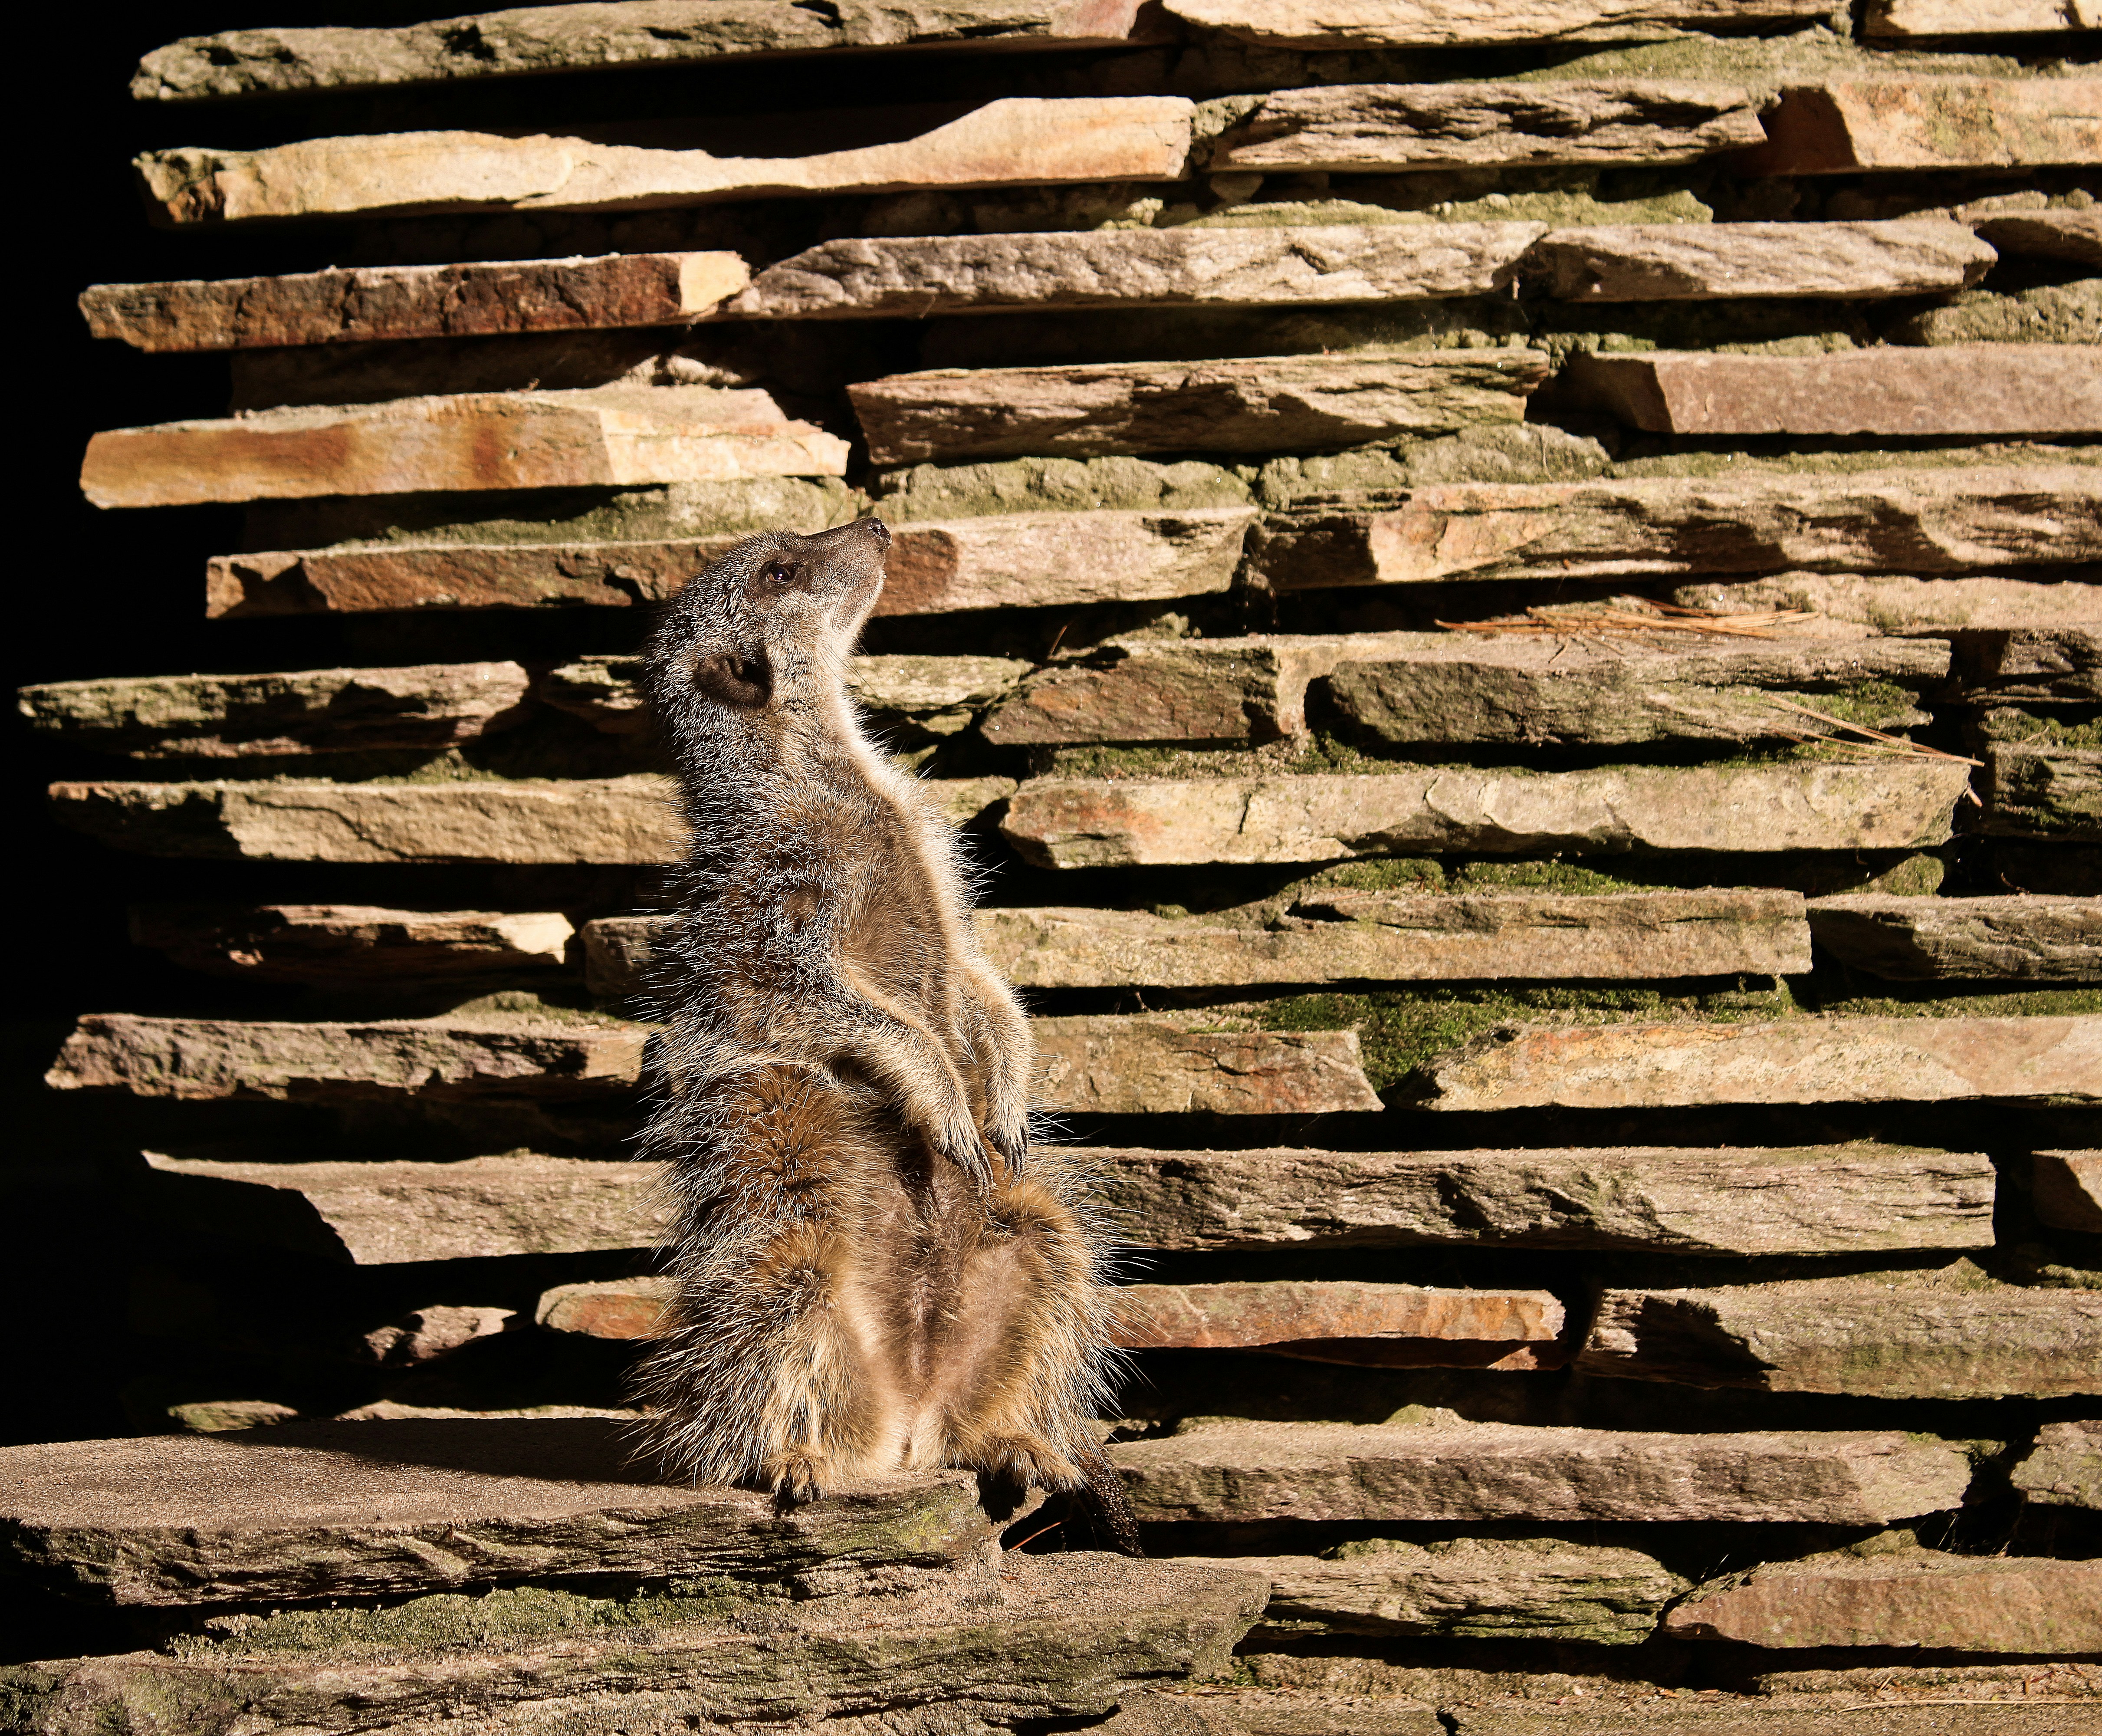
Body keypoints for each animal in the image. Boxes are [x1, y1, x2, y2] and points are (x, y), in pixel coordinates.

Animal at [628, 516, 1140, 1552]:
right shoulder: (775, 898)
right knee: (755, 1345)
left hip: (1033, 1236)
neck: (839, 780)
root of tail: (905, 1421)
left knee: (1054, 1261)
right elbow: (810, 996)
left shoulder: (935, 858)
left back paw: (1018, 1442)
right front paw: (937, 1083)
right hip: (782, 1256)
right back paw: (791, 1457)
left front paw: (1006, 1085)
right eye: (781, 569)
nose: (869, 523)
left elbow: (978, 972)